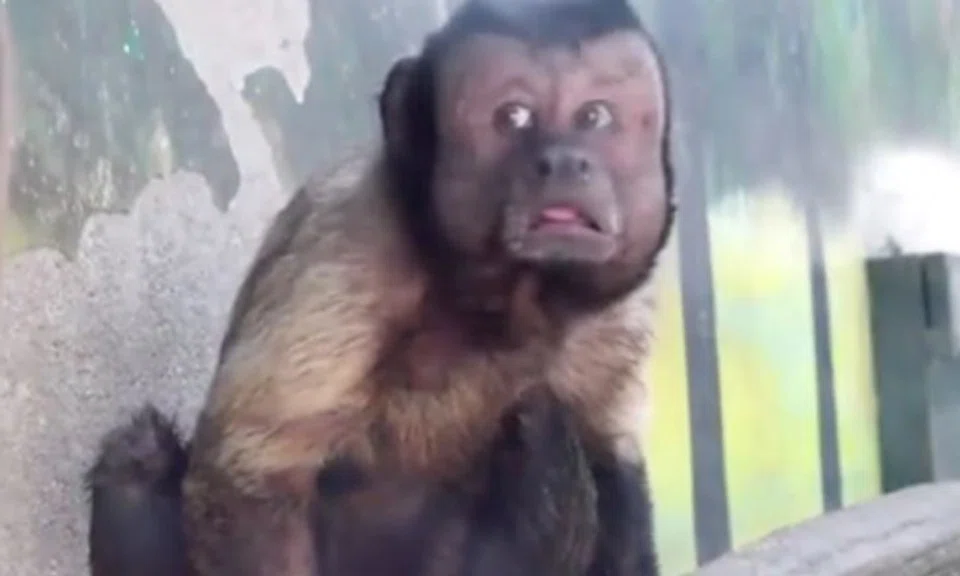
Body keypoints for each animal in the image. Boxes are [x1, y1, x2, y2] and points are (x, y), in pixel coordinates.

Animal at [86, 0, 675, 573]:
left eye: (594, 116)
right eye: (514, 117)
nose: (564, 160)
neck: (498, 305)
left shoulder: (620, 311)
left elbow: (614, 459)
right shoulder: (351, 245)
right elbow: (253, 478)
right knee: (139, 455)